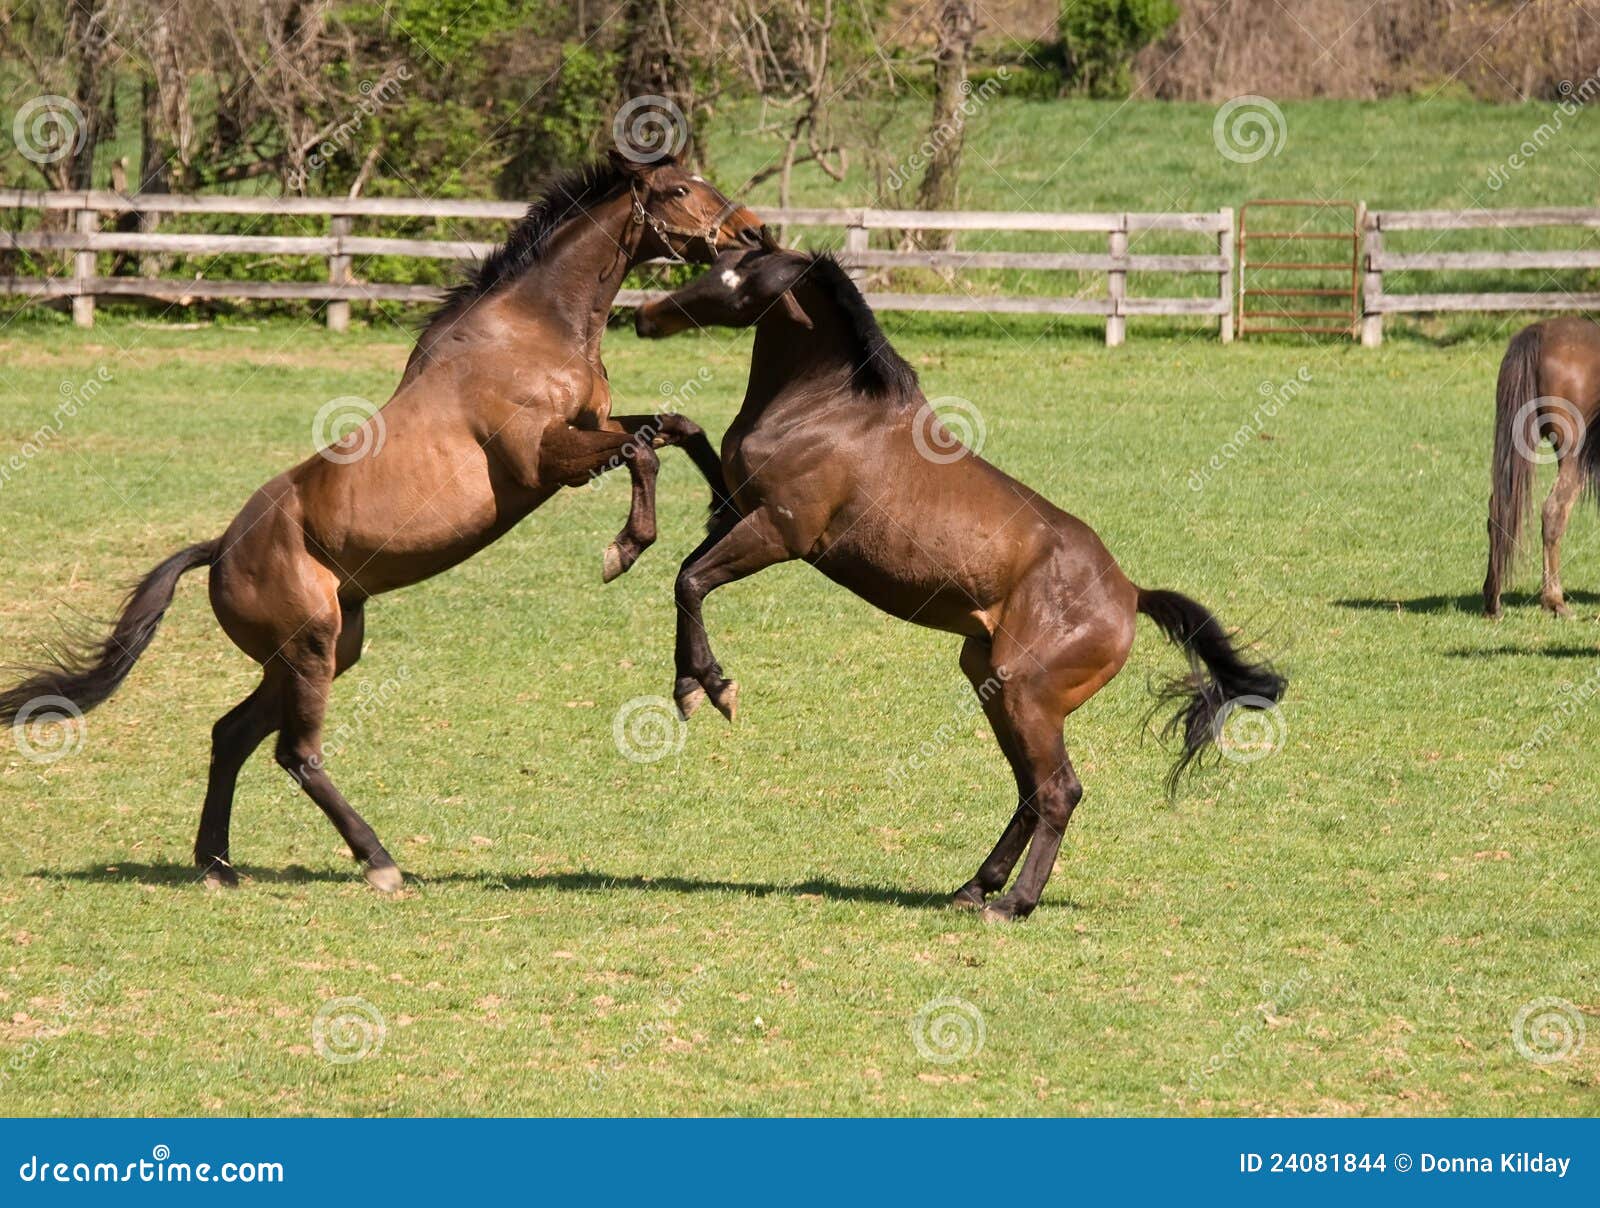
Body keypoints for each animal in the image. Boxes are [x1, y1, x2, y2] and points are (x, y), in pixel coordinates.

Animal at [0, 151, 764, 892]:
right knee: (296, 754)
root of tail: (220, 550)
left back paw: (218, 867)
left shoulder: (590, 429)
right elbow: (643, 451)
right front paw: (625, 548)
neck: (530, 330)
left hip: (320, 652)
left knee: (231, 734)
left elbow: (678, 426)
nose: (752, 233)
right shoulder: (541, 461)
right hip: (311, 652)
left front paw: (723, 504)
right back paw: (379, 862)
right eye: (679, 188)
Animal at [633, 246, 1287, 921]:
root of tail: (1130, 595)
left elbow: (690, 581)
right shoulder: (735, 511)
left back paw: (1013, 902)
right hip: (993, 684)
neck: (825, 408)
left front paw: (707, 687)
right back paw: (975, 886)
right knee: (1030, 791)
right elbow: (687, 538)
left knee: (1059, 791)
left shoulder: (778, 534)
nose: (645, 315)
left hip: (1027, 695)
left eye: (739, 275)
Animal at [1484, 316, 1600, 618]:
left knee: (1499, 510)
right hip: (1573, 458)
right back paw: (1554, 600)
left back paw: (1492, 600)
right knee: (1553, 512)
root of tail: (1540, 331)